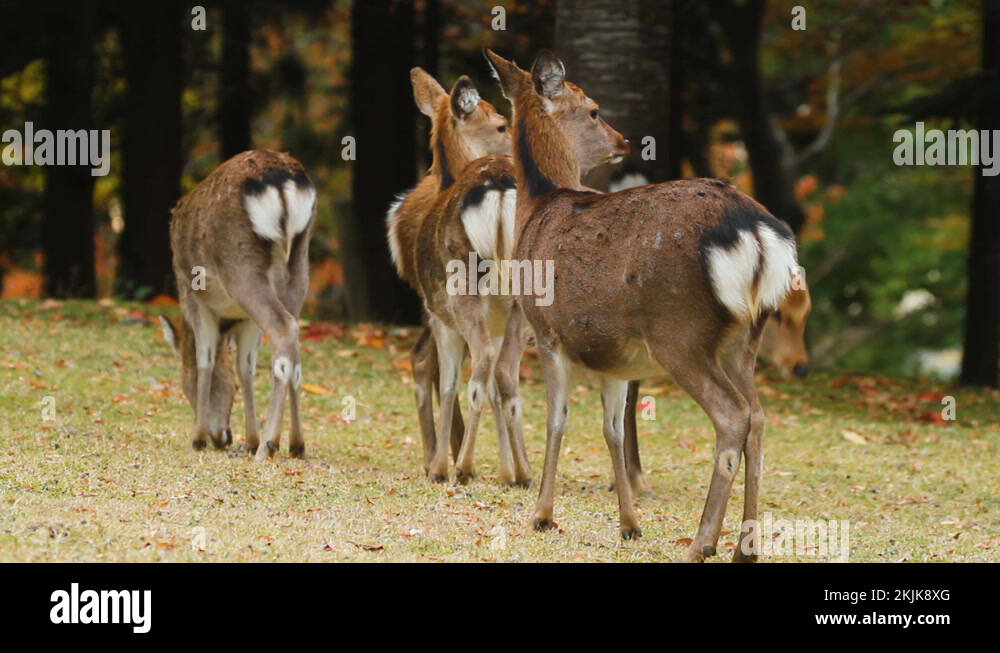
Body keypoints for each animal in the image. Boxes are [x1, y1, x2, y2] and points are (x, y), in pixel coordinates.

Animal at [161, 149, 315, 461]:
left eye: (185, 387)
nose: (221, 437)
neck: (227, 321)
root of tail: (282, 182)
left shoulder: (192, 295)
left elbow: (205, 357)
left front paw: (197, 438)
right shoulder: (245, 319)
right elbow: (245, 367)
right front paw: (250, 439)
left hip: (240, 267)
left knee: (284, 329)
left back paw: (269, 445)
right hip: (300, 264)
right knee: (294, 337)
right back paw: (296, 443)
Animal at [386, 68, 532, 486]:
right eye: (501, 124)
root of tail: (498, 188)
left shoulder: (439, 314)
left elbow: (449, 381)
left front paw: (439, 466)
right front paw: (509, 468)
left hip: (462, 287)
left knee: (479, 366)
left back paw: (462, 467)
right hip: (523, 295)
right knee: (504, 371)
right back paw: (522, 472)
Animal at [484, 49, 800, 562]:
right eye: (594, 110)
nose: (621, 140)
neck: (536, 210)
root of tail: (756, 233)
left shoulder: (547, 328)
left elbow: (556, 419)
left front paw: (543, 514)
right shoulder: (612, 356)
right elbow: (612, 428)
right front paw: (630, 524)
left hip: (680, 331)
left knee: (733, 416)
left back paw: (702, 543)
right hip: (745, 339)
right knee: (757, 416)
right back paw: (744, 547)